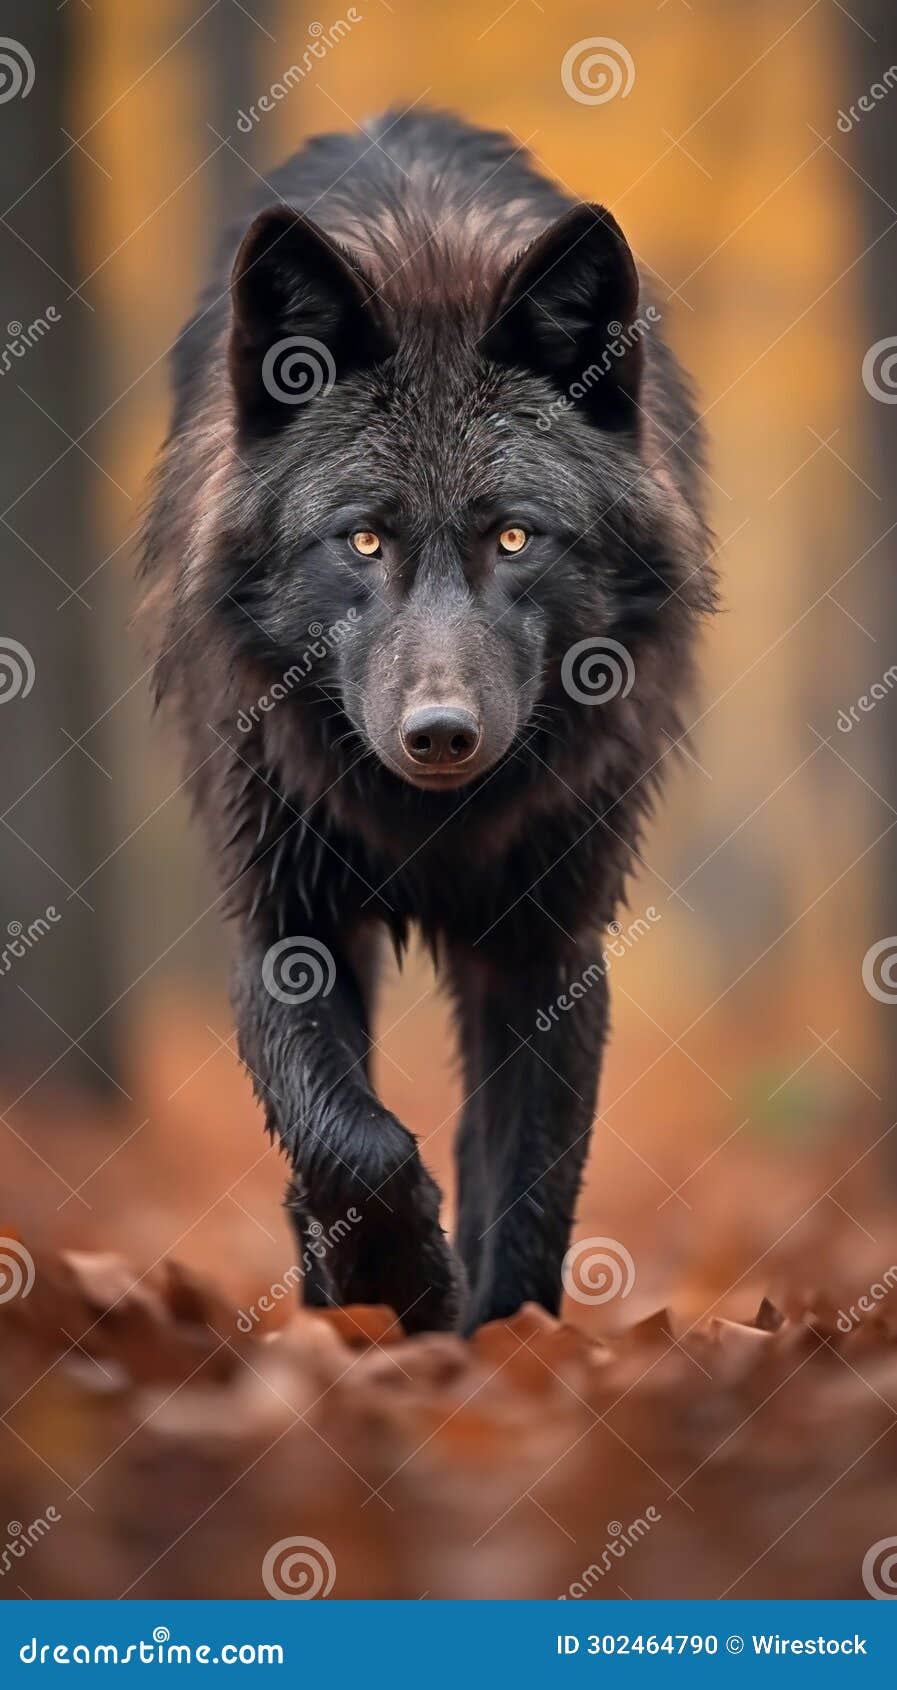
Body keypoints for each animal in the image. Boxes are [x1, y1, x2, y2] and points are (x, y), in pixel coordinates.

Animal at [141, 110, 714, 1334]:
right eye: (363, 539)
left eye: (514, 536)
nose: (440, 732)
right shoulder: (285, 921)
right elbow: (349, 1141)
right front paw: (396, 1290)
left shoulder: (546, 948)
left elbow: (529, 1175)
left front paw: (503, 1342)